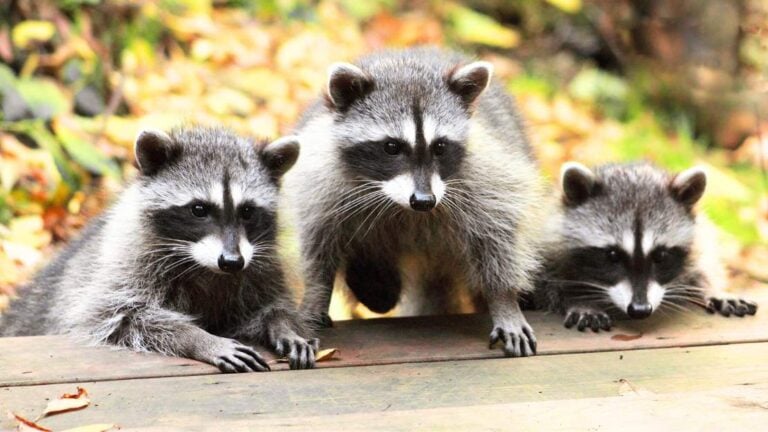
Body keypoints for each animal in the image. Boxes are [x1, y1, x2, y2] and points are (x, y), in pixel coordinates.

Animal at [0, 126, 318, 371]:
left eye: (248, 211)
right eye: (199, 209)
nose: (231, 261)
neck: (205, 267)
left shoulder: (261, 265)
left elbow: (269, 305)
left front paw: (282, 323)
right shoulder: (127, 264)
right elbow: (123, 317)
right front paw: (198, 338)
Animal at [284, 47, 548, 357]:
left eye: (440, 146)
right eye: (391, 147)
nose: (424, 201)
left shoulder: (487, 176)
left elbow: (498, 234)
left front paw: (504, 300)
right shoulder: (319, 179)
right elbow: (318, 246)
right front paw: (316, 295)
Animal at [536, 161, 758, 332]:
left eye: (660, 256)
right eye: (612, 255)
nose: (640, 310)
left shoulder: (700, 235)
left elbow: (702, 261)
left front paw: (714, 288)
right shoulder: (545, 244)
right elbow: (548, 285)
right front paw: (581, 300)